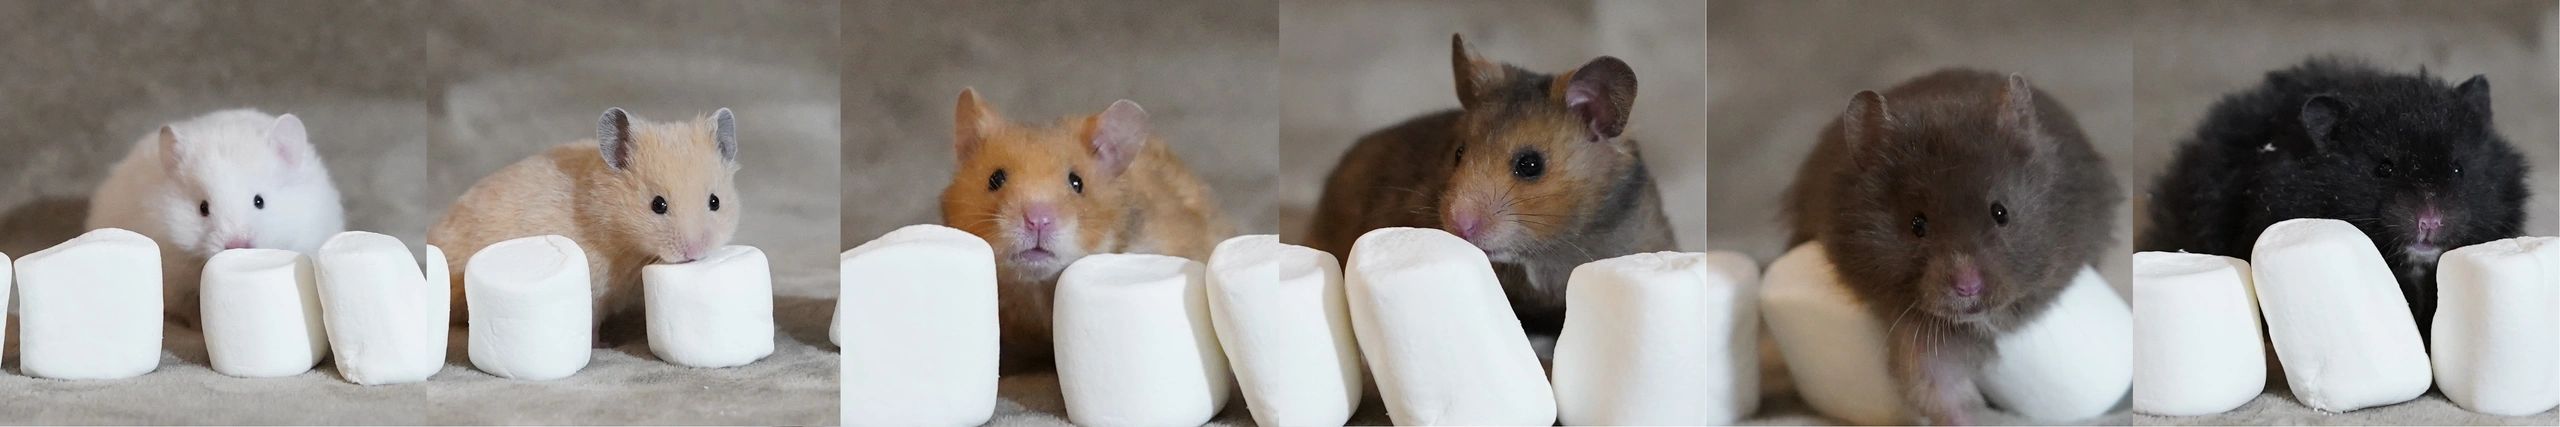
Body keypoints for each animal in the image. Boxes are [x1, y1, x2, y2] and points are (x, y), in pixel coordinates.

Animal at [88, 109, 347, 327]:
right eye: (203, 208)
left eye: (259, 201)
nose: (236, 246)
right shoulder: (176, 279)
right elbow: (190, 309)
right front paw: (198, 327)